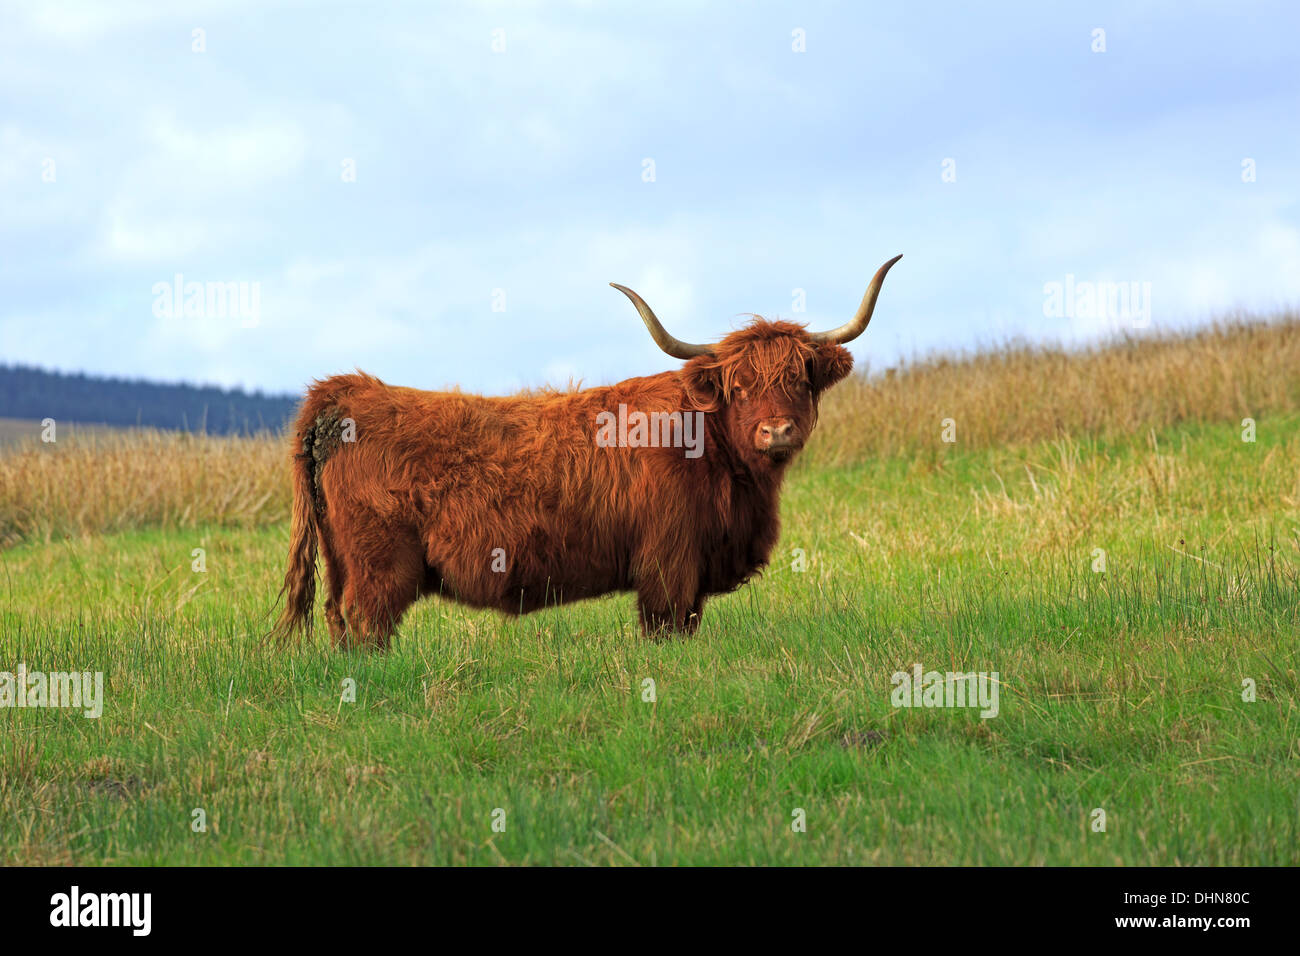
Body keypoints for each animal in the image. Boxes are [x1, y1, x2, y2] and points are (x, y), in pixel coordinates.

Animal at [274, 255, 901, 649]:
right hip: (378, 569)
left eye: (798, 379)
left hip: (342, 562)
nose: (776, 432)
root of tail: (346, 391)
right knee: (365, 628)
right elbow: (665, 631)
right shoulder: (668, 566)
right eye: (740, 386)